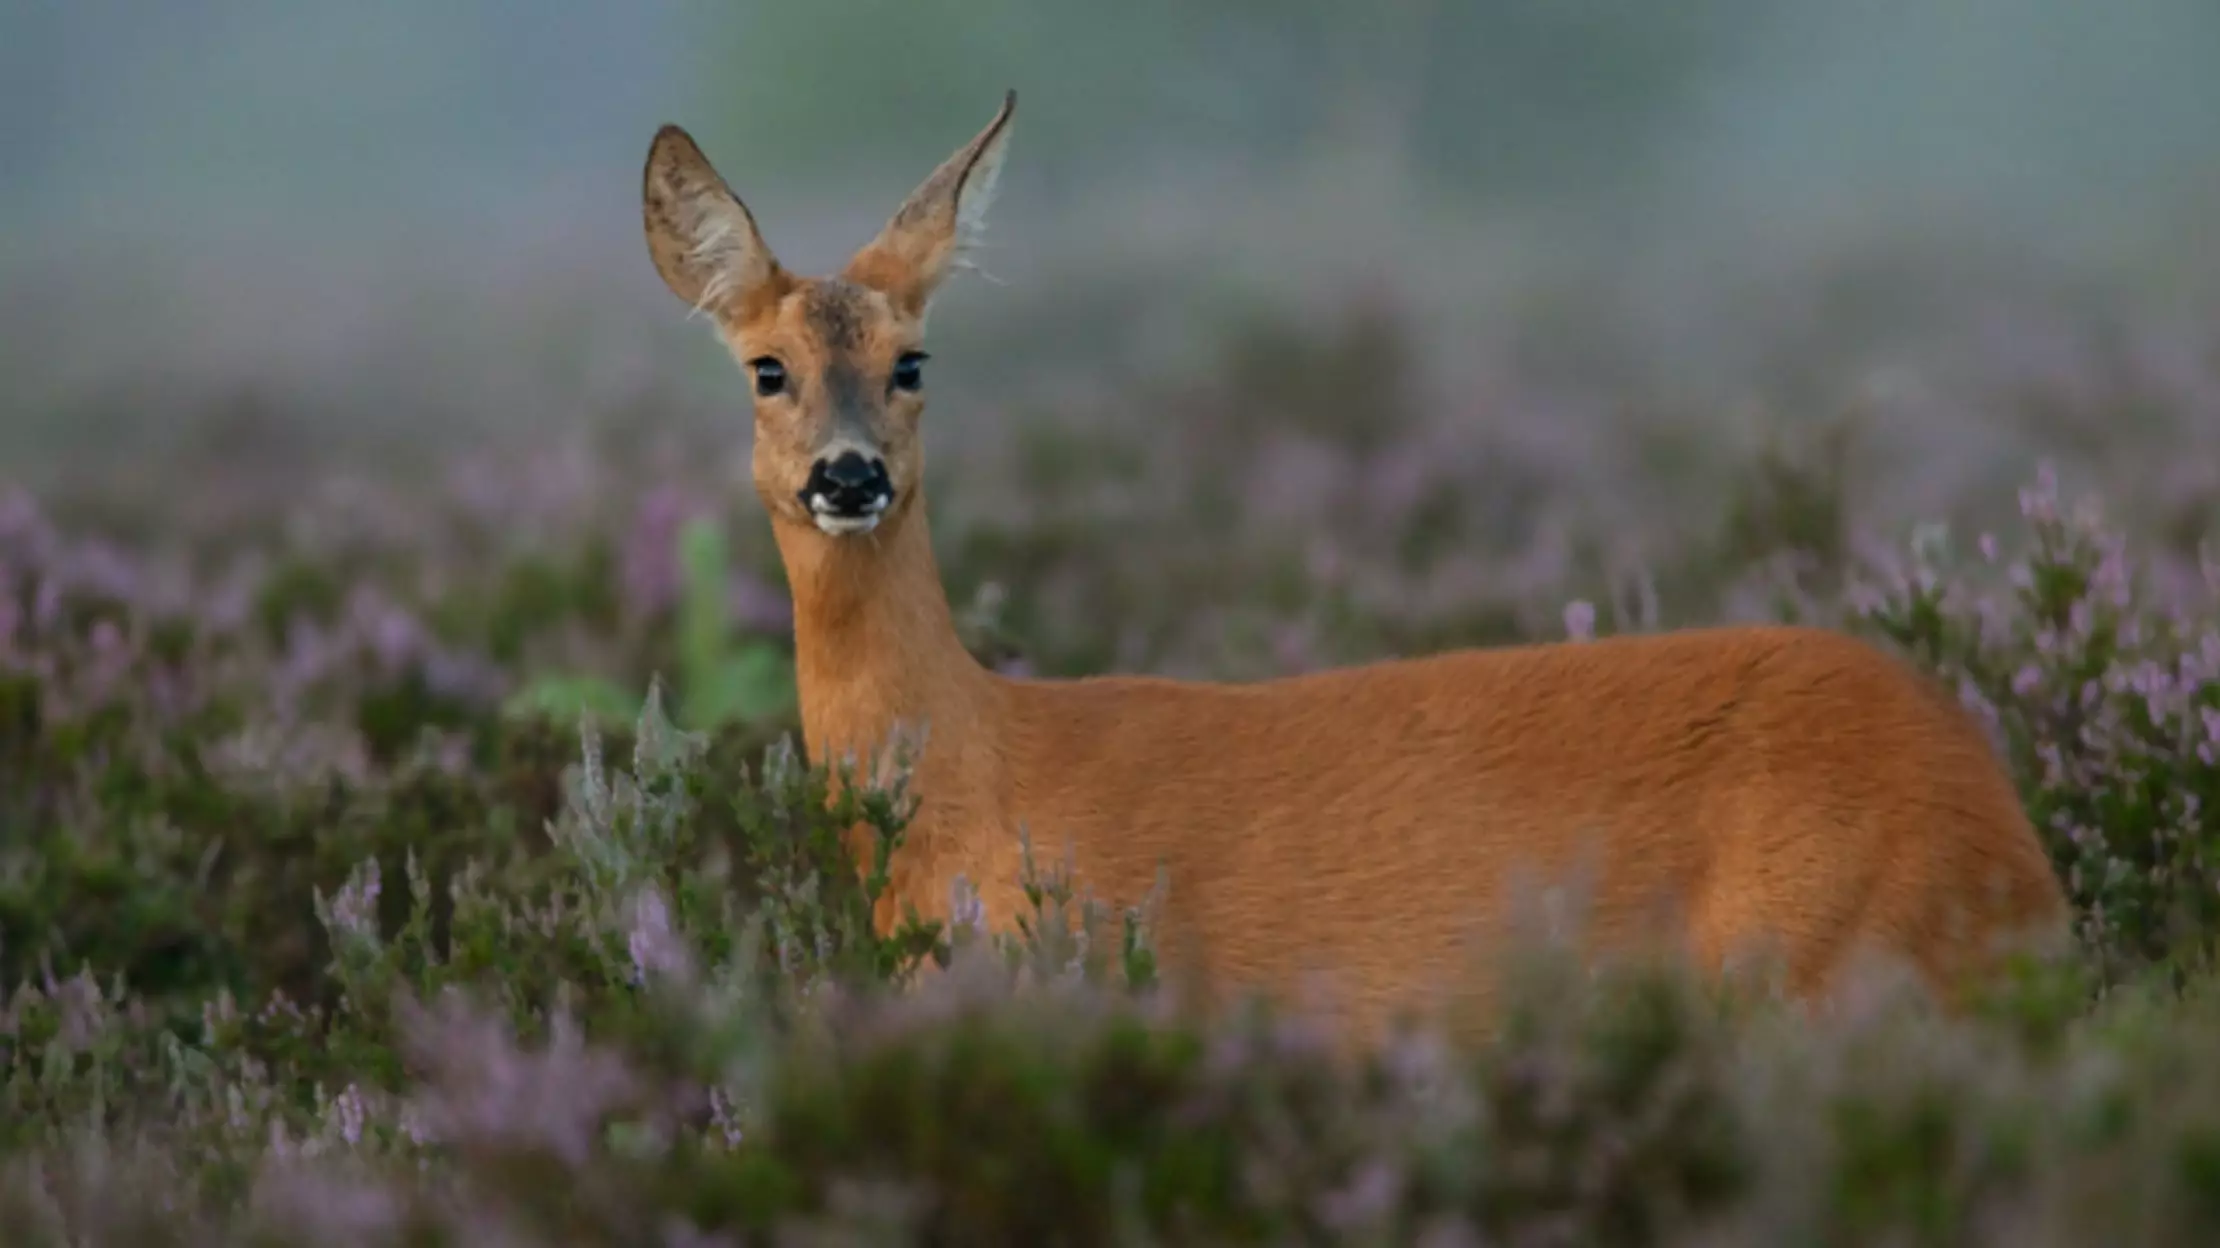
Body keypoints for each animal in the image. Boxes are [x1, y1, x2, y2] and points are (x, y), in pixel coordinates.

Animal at [634, 89, 2069, 1039]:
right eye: (767, 368)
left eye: (913, 361)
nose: (850, 477)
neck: (968, 792)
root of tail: (2016, 854)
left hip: (1812, 968)